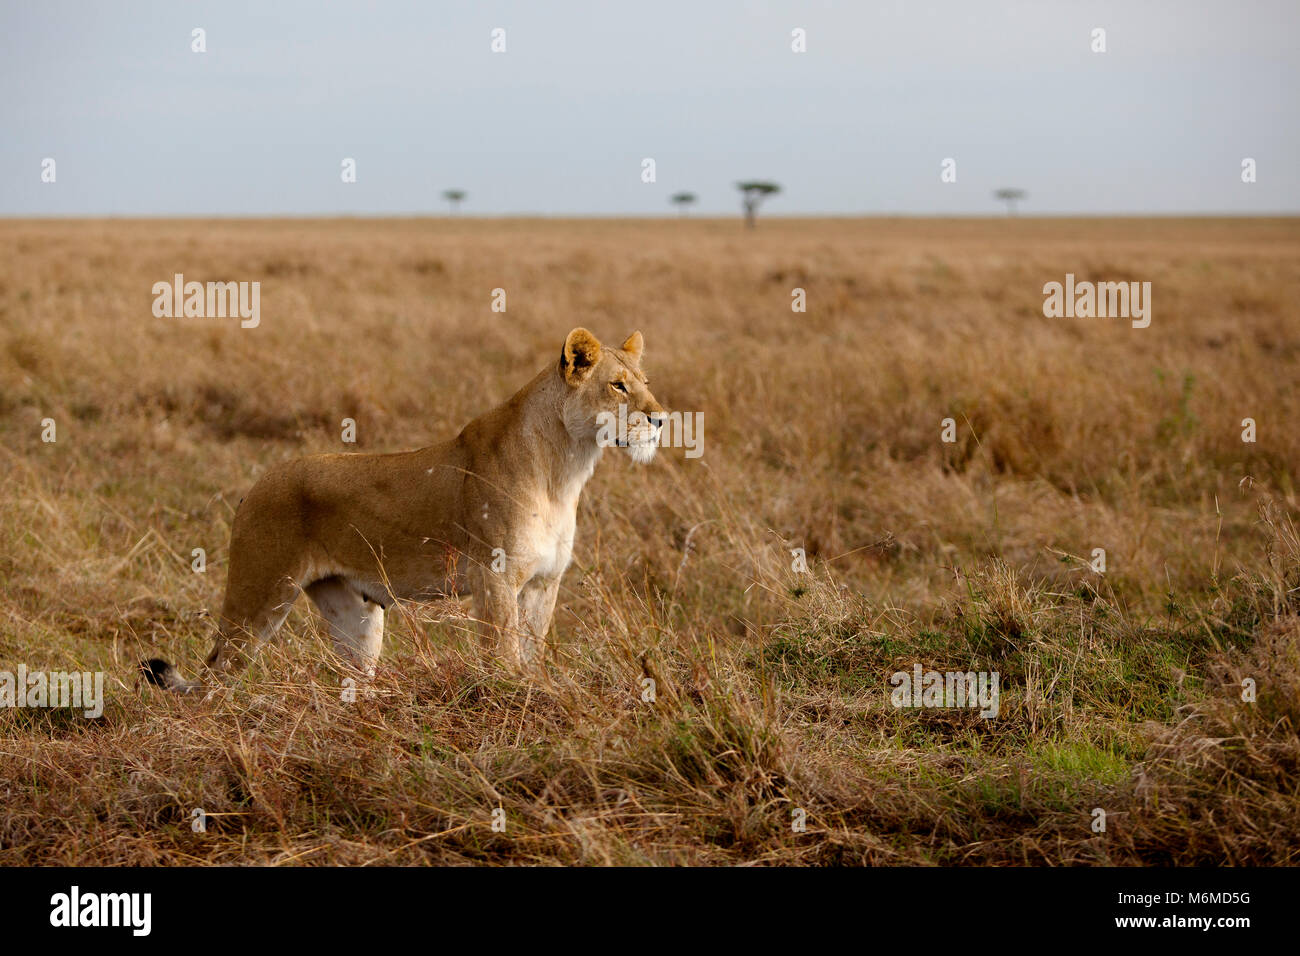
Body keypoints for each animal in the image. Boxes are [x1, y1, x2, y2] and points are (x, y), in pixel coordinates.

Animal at [143, 328, 665, 692]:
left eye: (645, 383)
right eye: (618, 387)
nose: (661, 418)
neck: (566, 467)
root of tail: (255, 485)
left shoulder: (544, 581)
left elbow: (532, 652)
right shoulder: (494, 577)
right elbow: (504, 656)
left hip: (357, 617)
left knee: (351, 679)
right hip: (258, 596)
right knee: (216, 674)